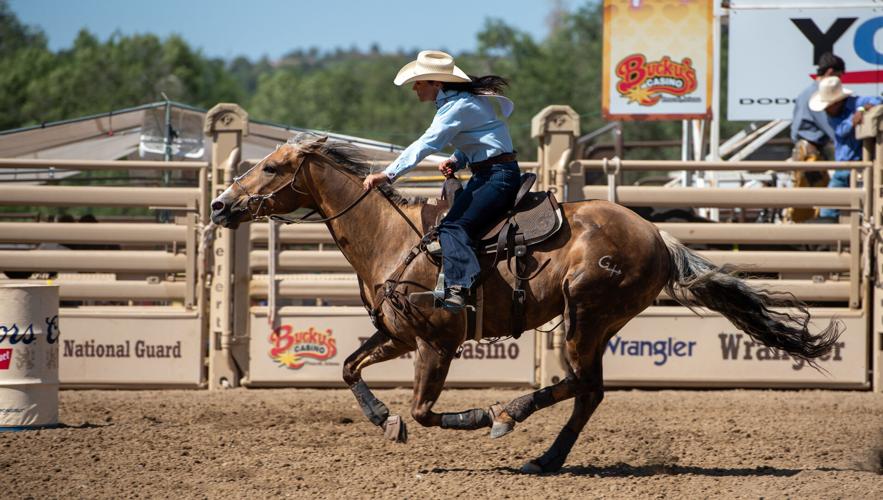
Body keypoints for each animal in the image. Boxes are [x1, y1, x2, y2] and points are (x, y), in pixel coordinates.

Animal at [210, 134, 842, 474]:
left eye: (271, 166)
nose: (218, 205)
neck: (391, 238)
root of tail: (657, 235)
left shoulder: (437, 343)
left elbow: (425, 408)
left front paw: (475, 415)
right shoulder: (397, 336)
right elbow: (348, 368)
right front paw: (385, 421)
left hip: (586, 314)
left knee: (584, 386)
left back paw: (512, 418)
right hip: (593, 322)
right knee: (588, 391)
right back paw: (544, 455)